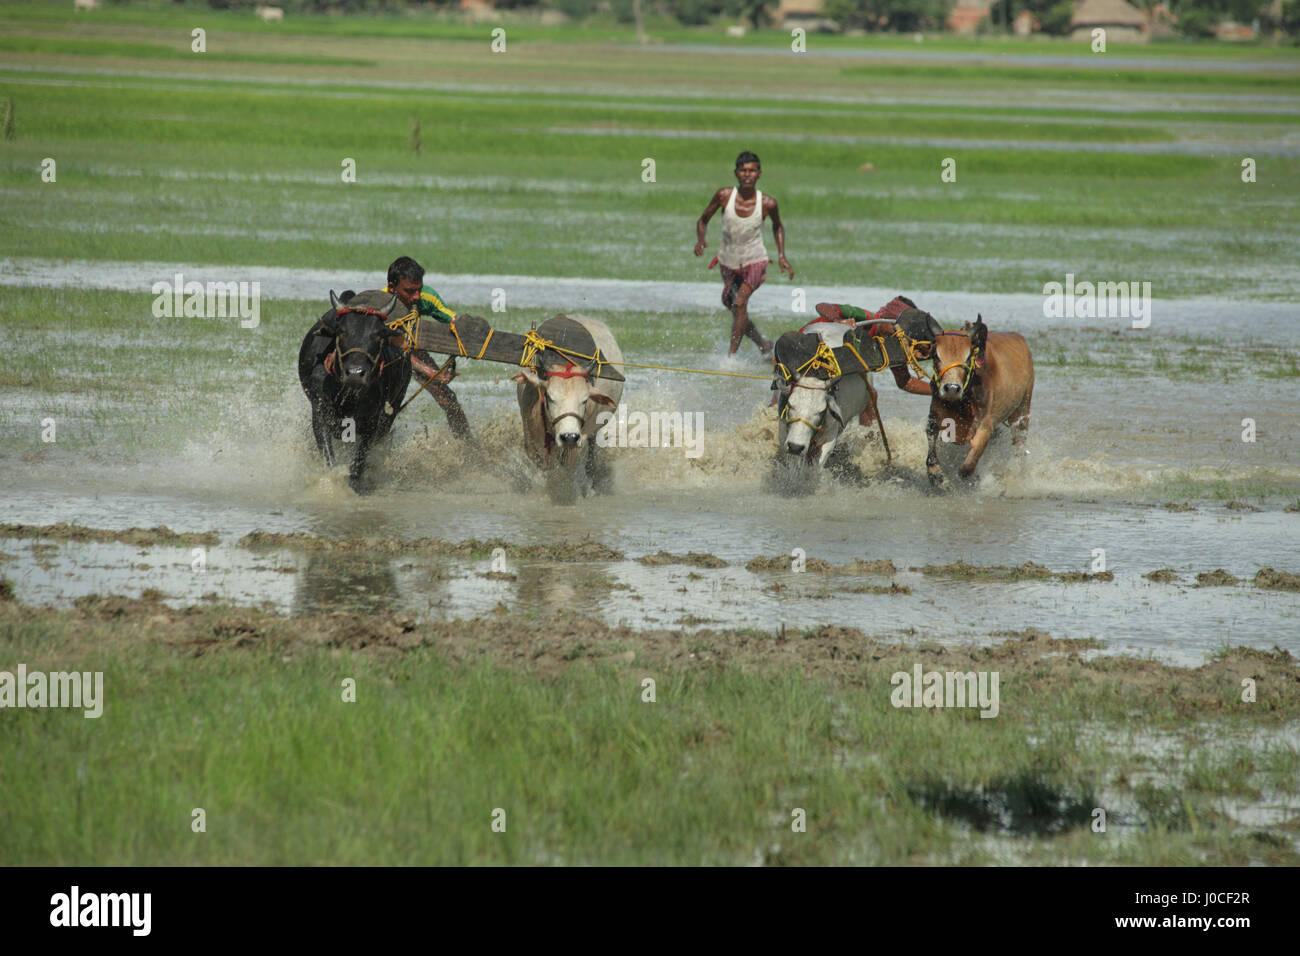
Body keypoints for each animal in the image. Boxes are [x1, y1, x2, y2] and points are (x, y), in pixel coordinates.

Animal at [298, 290, 412, 492]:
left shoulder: (371, 423)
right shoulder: (319, 412)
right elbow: (328, 455)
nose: (355, 373)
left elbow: (358, 463)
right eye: (342, 332)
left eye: (378, 335)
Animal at [511, 314, 624, 505]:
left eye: (585, 400)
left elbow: (566, 468)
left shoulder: (580, 440)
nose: (569, 436)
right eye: (549, 397)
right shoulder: (531, 435)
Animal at [923, 316, 1034, 485]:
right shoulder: (934, 416)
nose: (952, 388)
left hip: (1023, 409)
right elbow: (931, 440)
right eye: (936, 355)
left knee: (1019, 444)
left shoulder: (985, 425)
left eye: (969, 356)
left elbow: (967, 467)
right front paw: (935, 474)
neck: (962, 402)